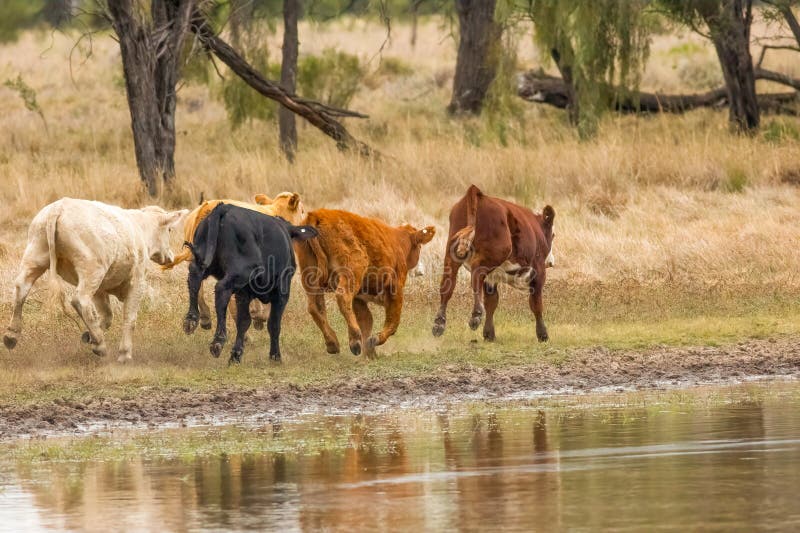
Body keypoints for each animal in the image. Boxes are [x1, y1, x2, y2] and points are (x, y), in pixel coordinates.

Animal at [3, 198, 188, 361]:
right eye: (169, 230)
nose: (171, 257)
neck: (140, 229)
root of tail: (59, 207)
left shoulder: (101, 289)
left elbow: (107, 315)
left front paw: (88, 335)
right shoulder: (137, 281)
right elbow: (129, 318)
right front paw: (124, 354)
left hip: (35, 256)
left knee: (21, 288)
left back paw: (11, 335)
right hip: (92, 269)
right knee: (80, 299)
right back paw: (100, 346)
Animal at [162, 192, 306, 331]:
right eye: (302, 210)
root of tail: (210, 206)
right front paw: (259, 317)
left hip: (198, 260)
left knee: (196, 285)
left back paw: (201, 319)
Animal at [182, 204, 317, 364]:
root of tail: (225, 207)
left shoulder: (243, 293)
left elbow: (243, 321)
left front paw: (236, 355)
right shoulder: (282, 291)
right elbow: (274, 324)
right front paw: (275, 356)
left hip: (204, 260)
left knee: (194, 278)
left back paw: (191, 320)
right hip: (241, 270)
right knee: (221, 289)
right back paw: (218, 340)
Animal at [294, 209, 436, 358]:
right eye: (419, 246)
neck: (398, 242)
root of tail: (317, 214)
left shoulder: (359, 299)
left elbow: (367, 320)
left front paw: (370, 353)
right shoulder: (395, 288)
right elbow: (393, 321)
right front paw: (375, 340)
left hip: (309, 276)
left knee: (314, 307)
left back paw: (333, 343)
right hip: (354, 267)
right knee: (342, 297)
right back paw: (355, 340)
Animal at [432, 185, 555, 343]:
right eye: (553, 235)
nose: (551, 262)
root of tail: (478, 193)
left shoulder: (492, 277)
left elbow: (491, 302)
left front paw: (489, 334)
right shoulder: (538, 271)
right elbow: (536, 303)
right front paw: (542, 334)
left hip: (451, 255)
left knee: (447, 285)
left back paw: (439, 323)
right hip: (494, 254)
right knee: (476, 273)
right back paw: (476, 314)